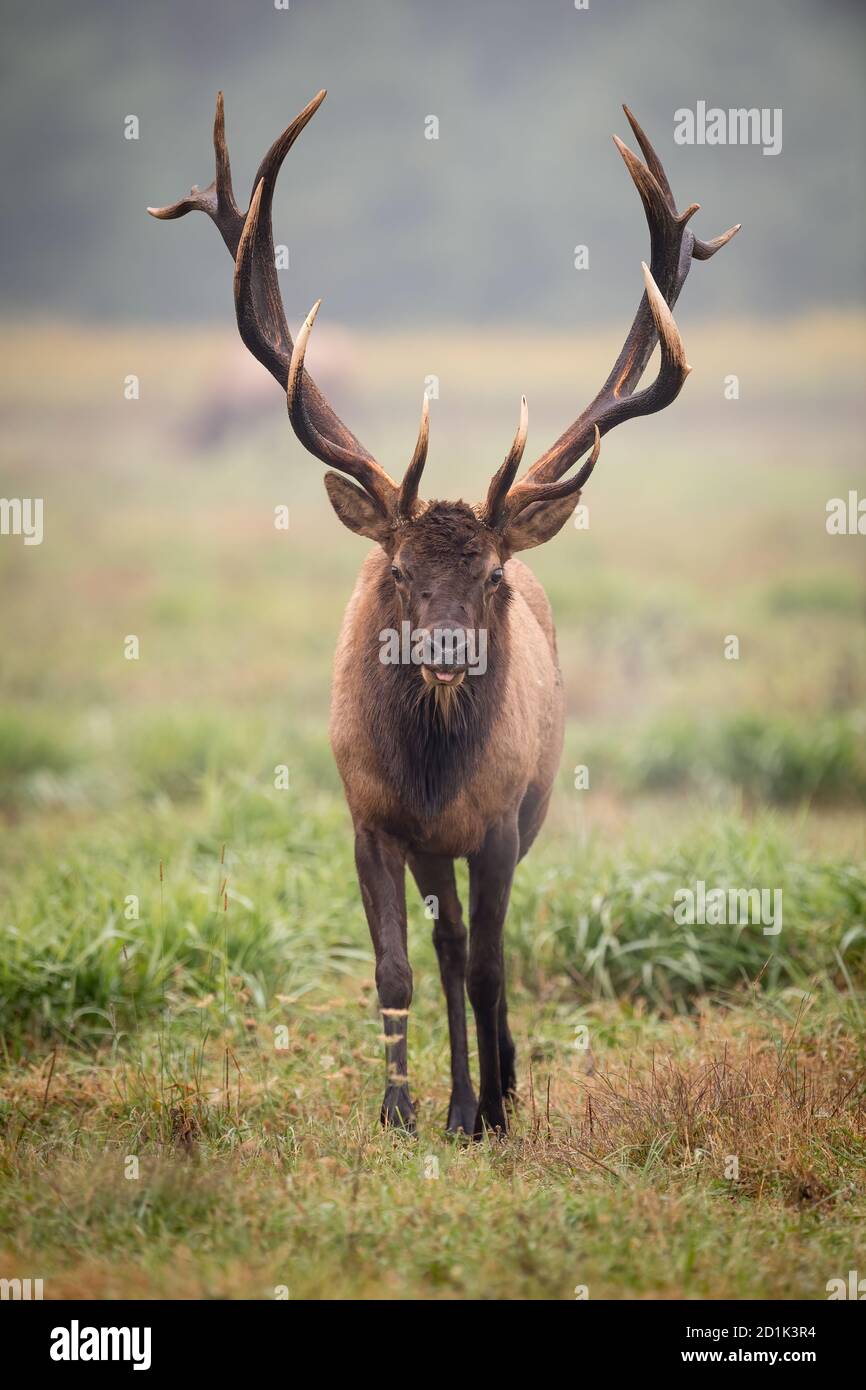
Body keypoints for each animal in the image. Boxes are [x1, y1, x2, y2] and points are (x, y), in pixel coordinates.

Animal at [149, 92, 738, 1138]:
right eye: (397, 569)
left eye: (494, 574)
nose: (450, 651)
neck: (430, 776)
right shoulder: (371, 818)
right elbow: (397, 968)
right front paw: (402, 1110)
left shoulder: (500, 821)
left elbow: (497, 966)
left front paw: (498, 1104)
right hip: (432, 852)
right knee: (450, 942)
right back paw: (460, 1100)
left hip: (526, 812)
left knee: (480, 951)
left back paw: (492, 1091)